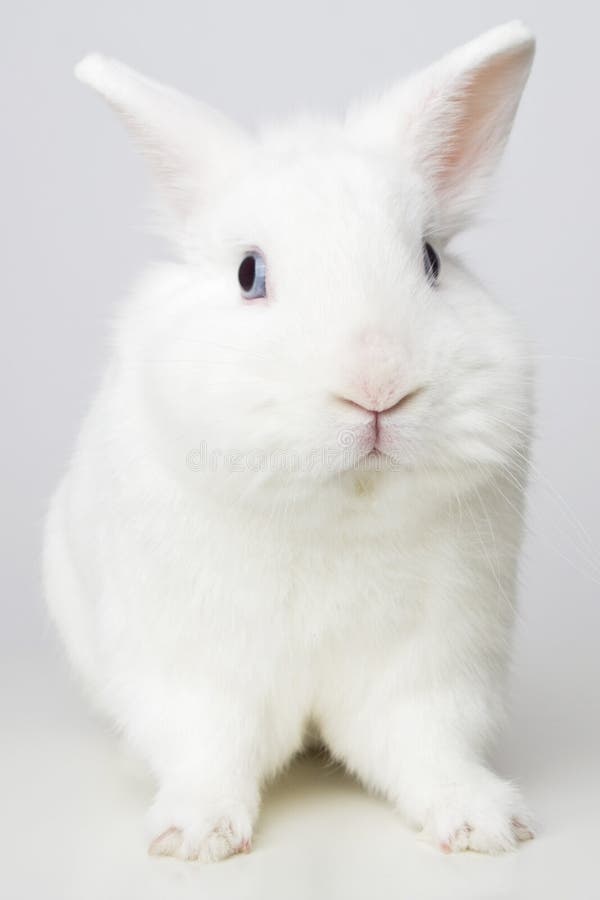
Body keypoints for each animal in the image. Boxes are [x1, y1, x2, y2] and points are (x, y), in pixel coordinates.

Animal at [44, 21, 537, 862]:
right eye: (250, 273)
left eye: (431, 260)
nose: (377, 385)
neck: (335, 515)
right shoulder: (196, 672)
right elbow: (208, 748)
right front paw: (195, 836)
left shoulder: (431, 673)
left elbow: (428, 748)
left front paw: (481, 824)